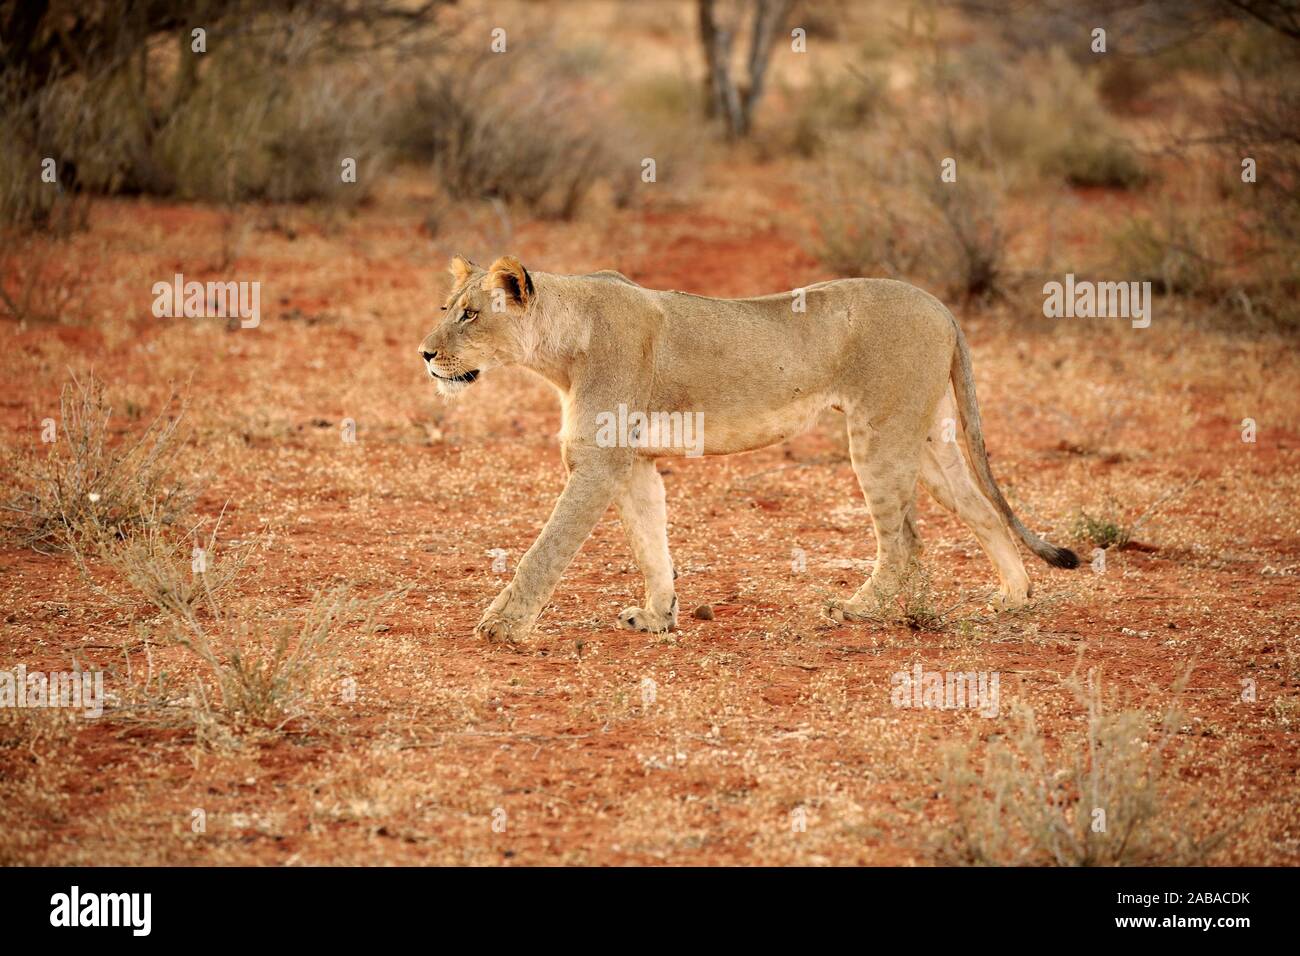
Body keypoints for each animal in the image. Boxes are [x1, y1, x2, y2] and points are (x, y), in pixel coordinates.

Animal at [420, 255, 1078, 644]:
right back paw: (1013, 597)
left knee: (907, 542)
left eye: (470, 315)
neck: (562, 344)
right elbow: (651, 544)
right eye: (447, 309)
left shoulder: (599, 462)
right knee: (983, 510)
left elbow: (547, 548)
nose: (425, 354)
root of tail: (940, 305)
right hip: (931, 436)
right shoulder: (633, 463)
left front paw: (503, 624)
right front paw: (658, 616)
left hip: (879, 432)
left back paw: (858, 608)